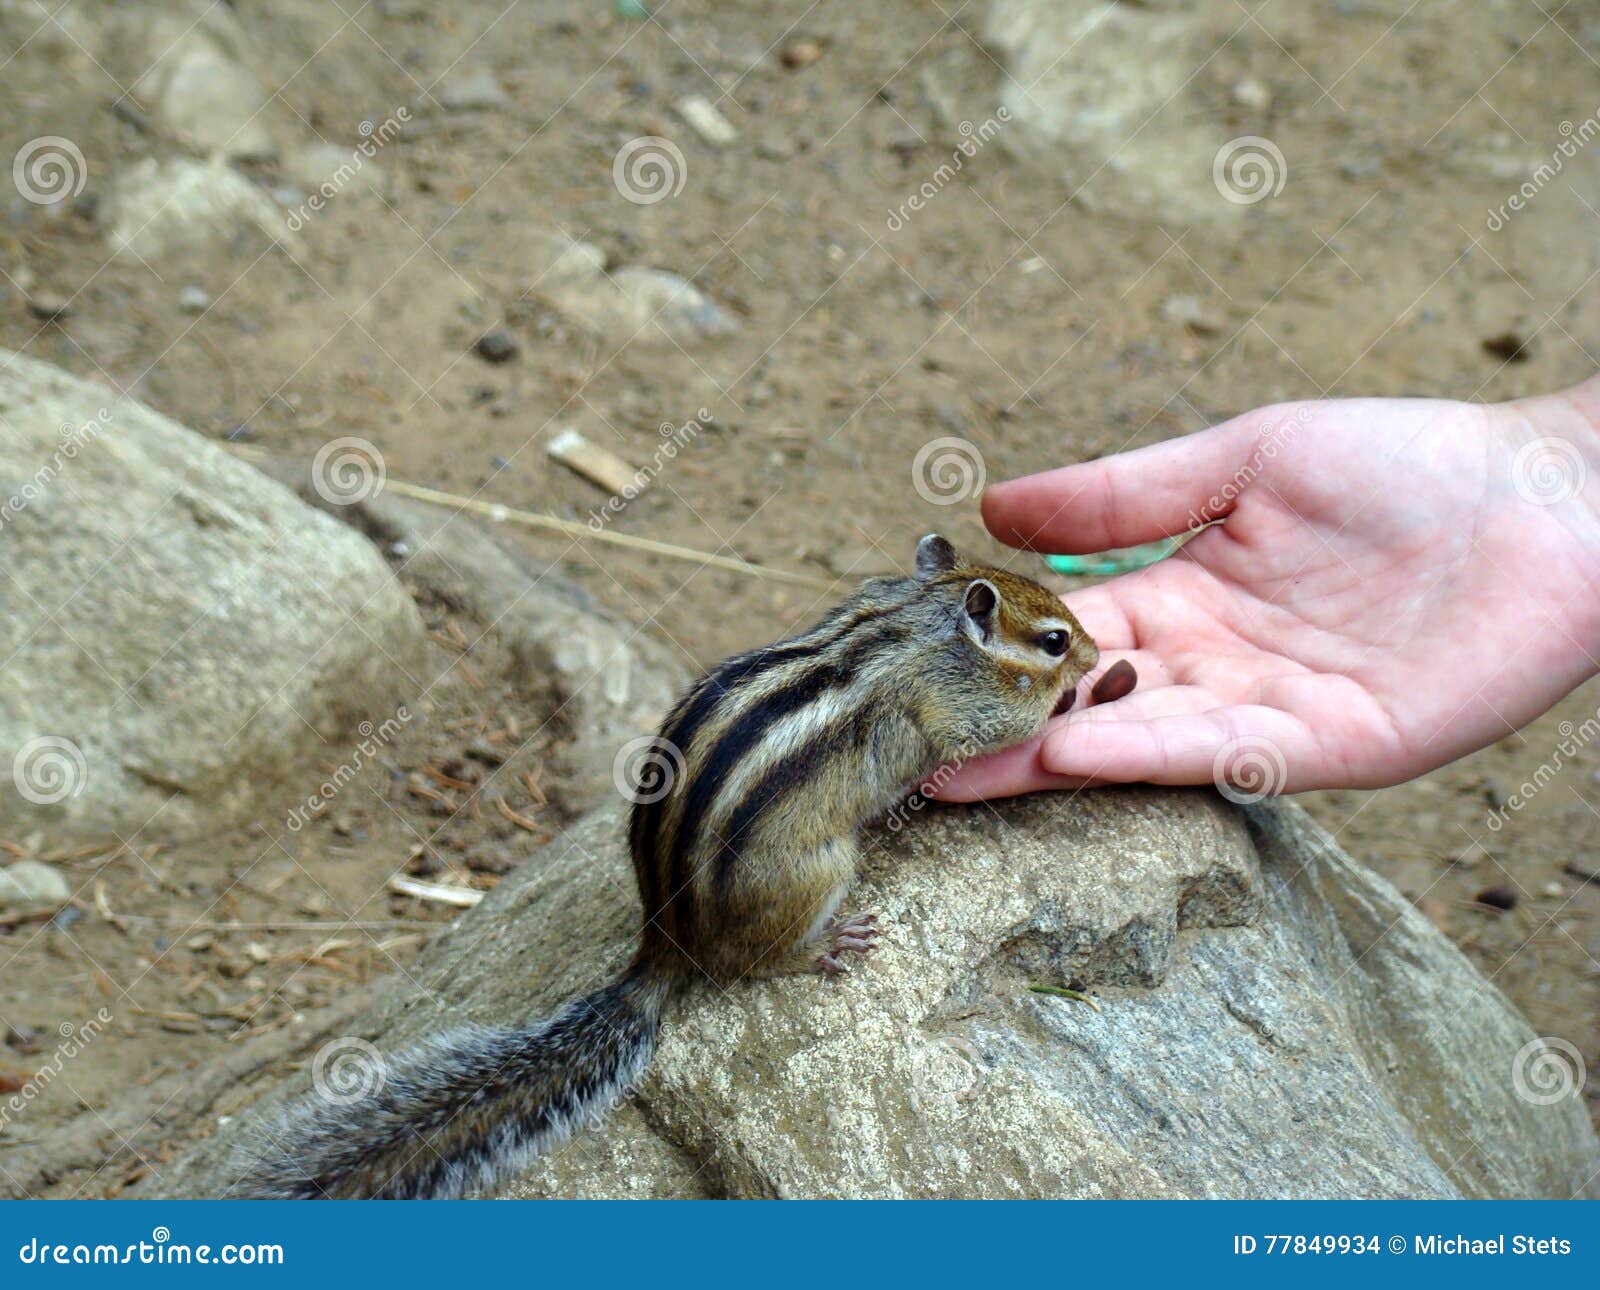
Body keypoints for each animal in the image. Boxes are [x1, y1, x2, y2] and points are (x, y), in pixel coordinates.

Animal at [240, 533, 1099, 1199]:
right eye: (1054, 639)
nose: (1094, 654)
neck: (914, 618)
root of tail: (666, 939)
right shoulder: (951, 710)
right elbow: (987, 730)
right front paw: (1060, 699)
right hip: (819, 870)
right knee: (753, 963)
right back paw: (822, 945)